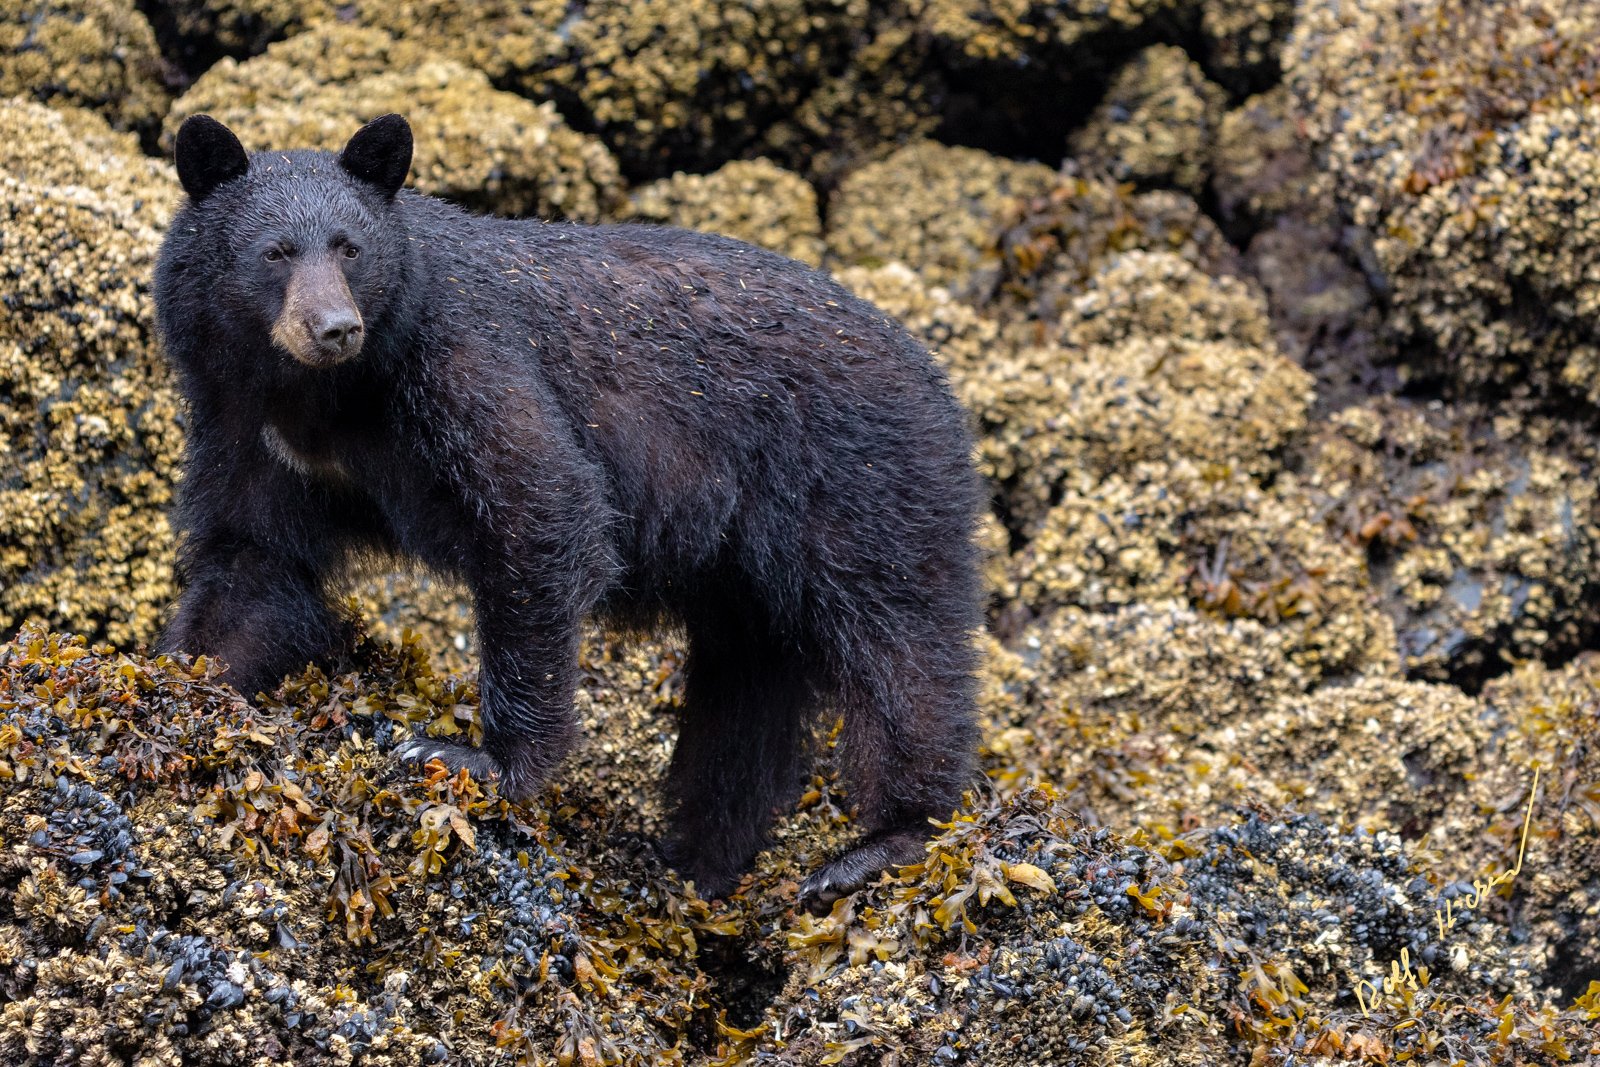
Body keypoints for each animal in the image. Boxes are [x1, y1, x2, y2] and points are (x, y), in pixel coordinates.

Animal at [154, 113, 982, 905]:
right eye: (275, 252)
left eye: (350, 248)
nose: (334, 327)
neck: (323, 394)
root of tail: (935, 375)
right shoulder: (248, 422)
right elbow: (255, 560)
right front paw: (180, 684)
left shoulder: (463, 360)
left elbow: (543, 507)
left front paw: (473, 757)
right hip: (752, 581)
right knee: (743, 699)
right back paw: (699, 862)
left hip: (858, 484)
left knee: (900, 652)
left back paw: (886, 840)